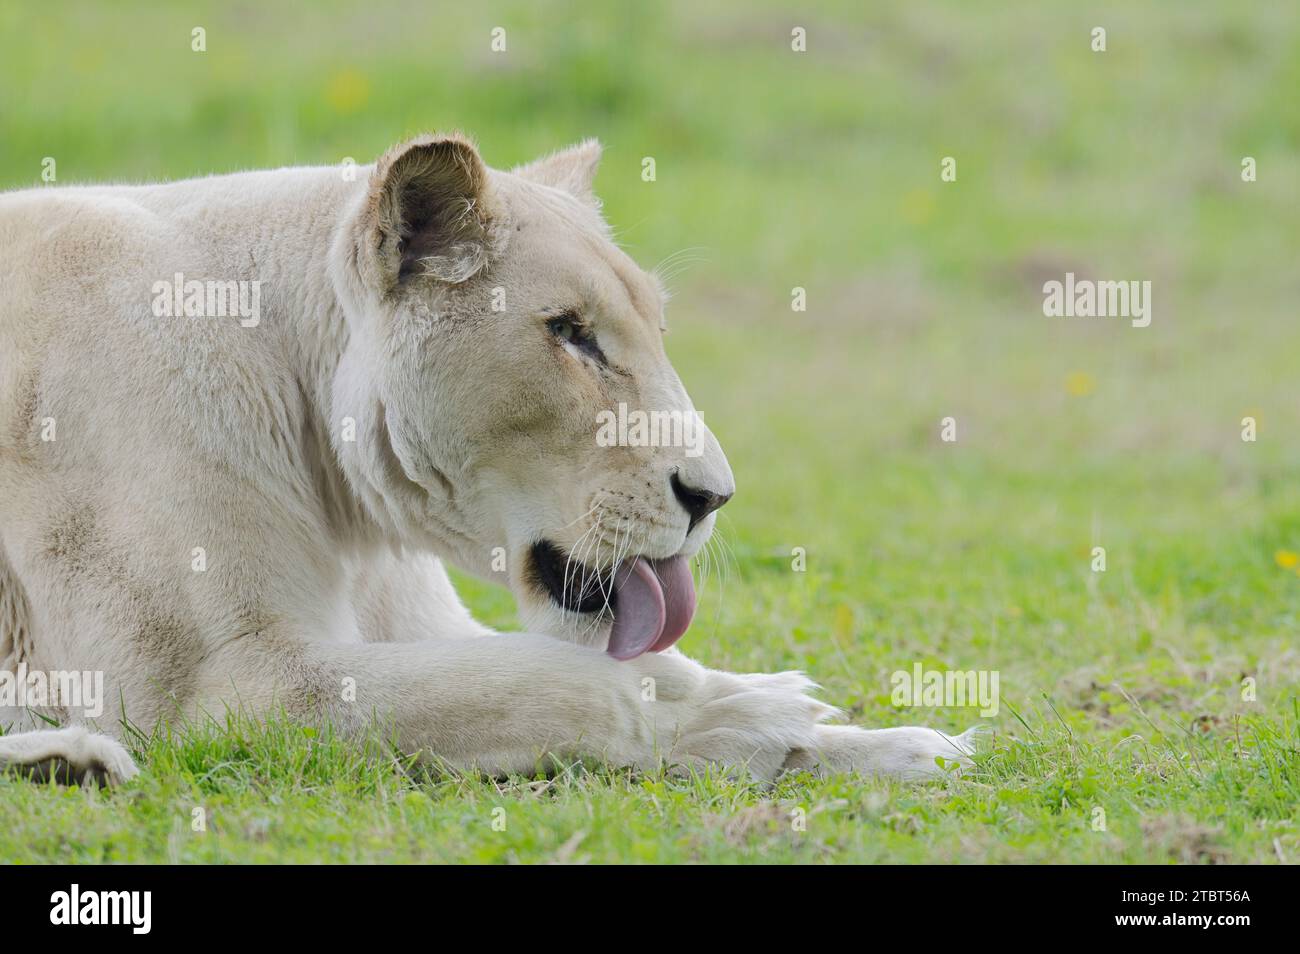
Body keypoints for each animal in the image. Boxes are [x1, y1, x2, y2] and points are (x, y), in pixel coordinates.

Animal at [0, 134, 979, 785]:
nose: (714, 496)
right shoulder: (219, 686)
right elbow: (543, 684)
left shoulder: (418, 627)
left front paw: (903, 744)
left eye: (655, 329)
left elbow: (566, 665)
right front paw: (752, 710)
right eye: (572, 334)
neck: (344, 500)